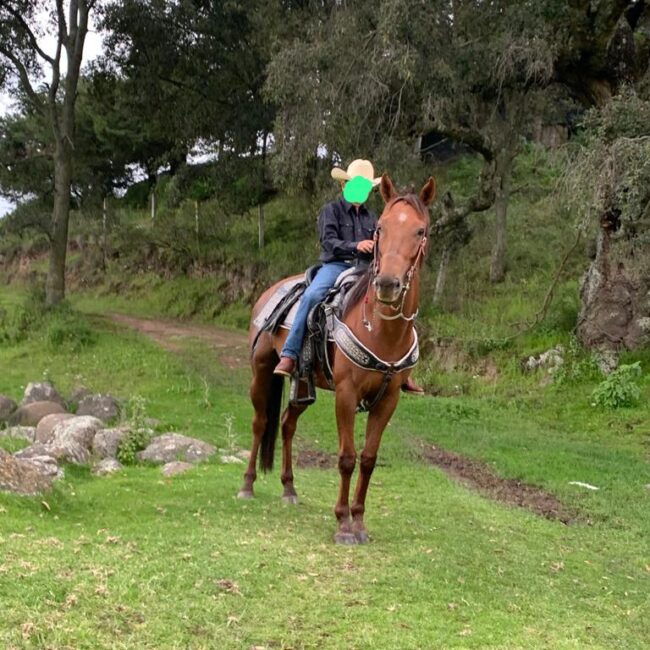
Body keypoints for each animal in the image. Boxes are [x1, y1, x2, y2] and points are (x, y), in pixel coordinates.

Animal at [239, 173, 436, 544]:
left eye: (420, 230)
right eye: (380, 228)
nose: (387, 284)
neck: (383, 331)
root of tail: (271, 290)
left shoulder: (388, 400)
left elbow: (369, 458)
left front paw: (359, 520)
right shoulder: (346, 394)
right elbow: (346, 457)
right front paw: (343, 524)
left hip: (303, 383)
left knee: (286, 423)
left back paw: (289, 489)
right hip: (261, 370)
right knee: (260, 422)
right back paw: (247, 485)